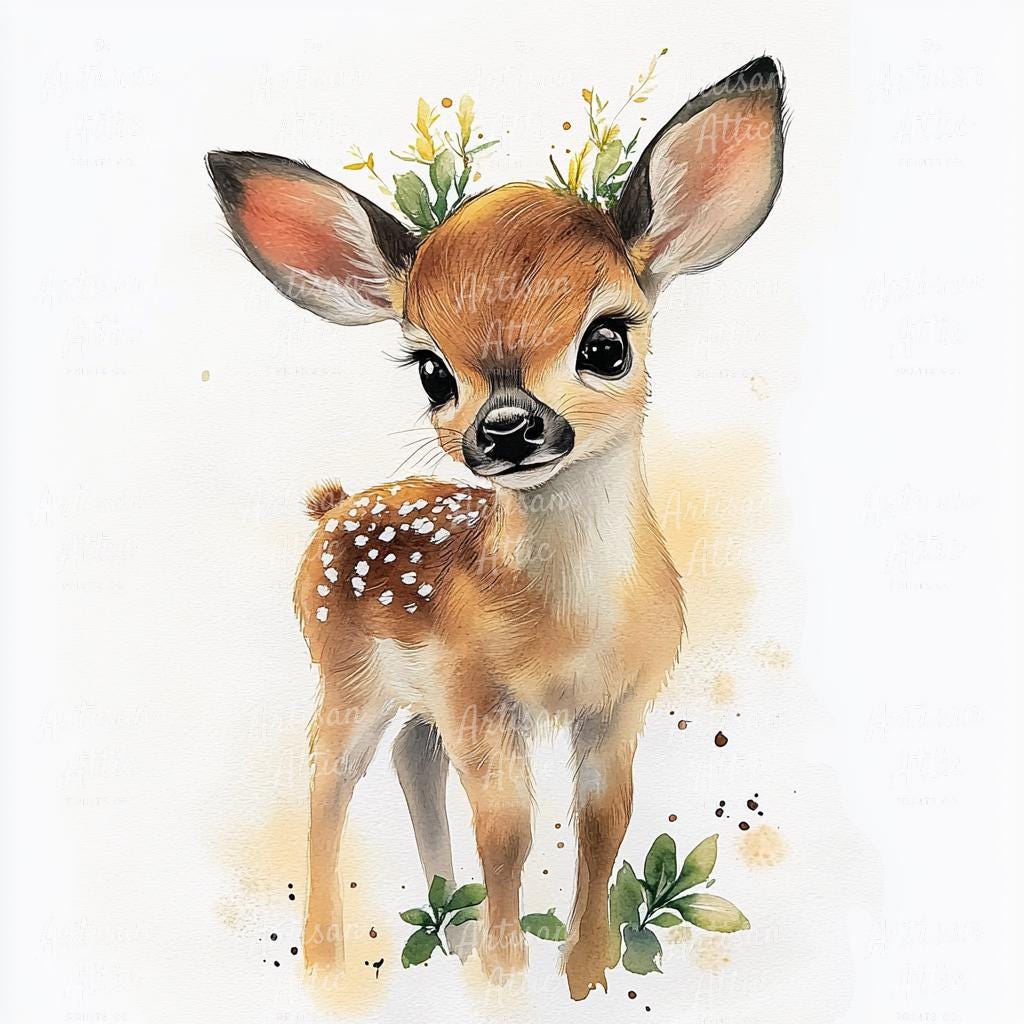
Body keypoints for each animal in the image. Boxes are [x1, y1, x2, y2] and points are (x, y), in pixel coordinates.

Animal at [207, 56, 785, 1000]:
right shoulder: (481, 693)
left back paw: (453, 930)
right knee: (331, 773)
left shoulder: (621, 699)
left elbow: (603, 822)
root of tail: (332, 504)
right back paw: (329, 957)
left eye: (607, 343)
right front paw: (508, 976)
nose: (507, 429)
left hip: (416, 689)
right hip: (345, 665)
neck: (568, 627)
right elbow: (508, 829)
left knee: (412, 756)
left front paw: (582, 971)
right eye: (433, 371)